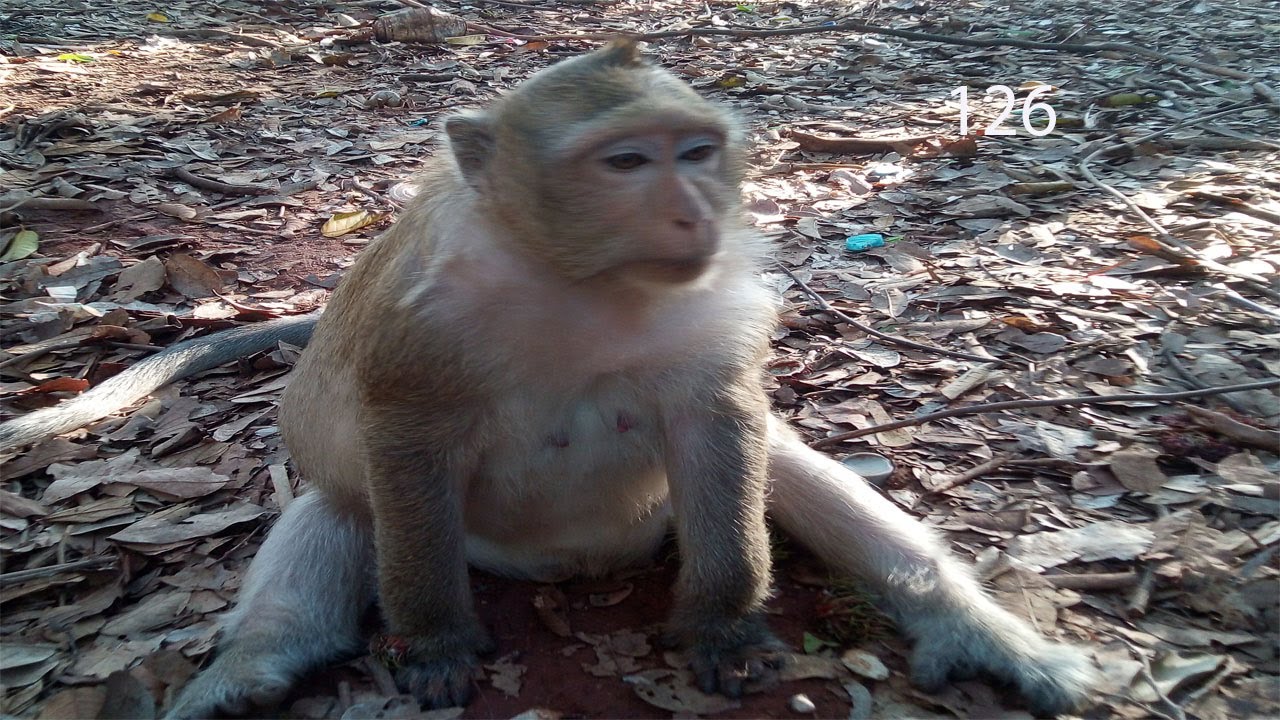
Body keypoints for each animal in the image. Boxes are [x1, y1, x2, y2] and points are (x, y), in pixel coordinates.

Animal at [0, 40, 1097, 718]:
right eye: (625, 163)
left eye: (697, 152)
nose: (693, 211)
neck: (582, 285)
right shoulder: (419, 327)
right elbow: (401, 439)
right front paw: (437, 644)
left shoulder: (719, 309)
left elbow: (719, 427)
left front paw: (724, 625)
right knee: (345, 499)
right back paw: (258, 659)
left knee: (783, 465)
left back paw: (970, 623)